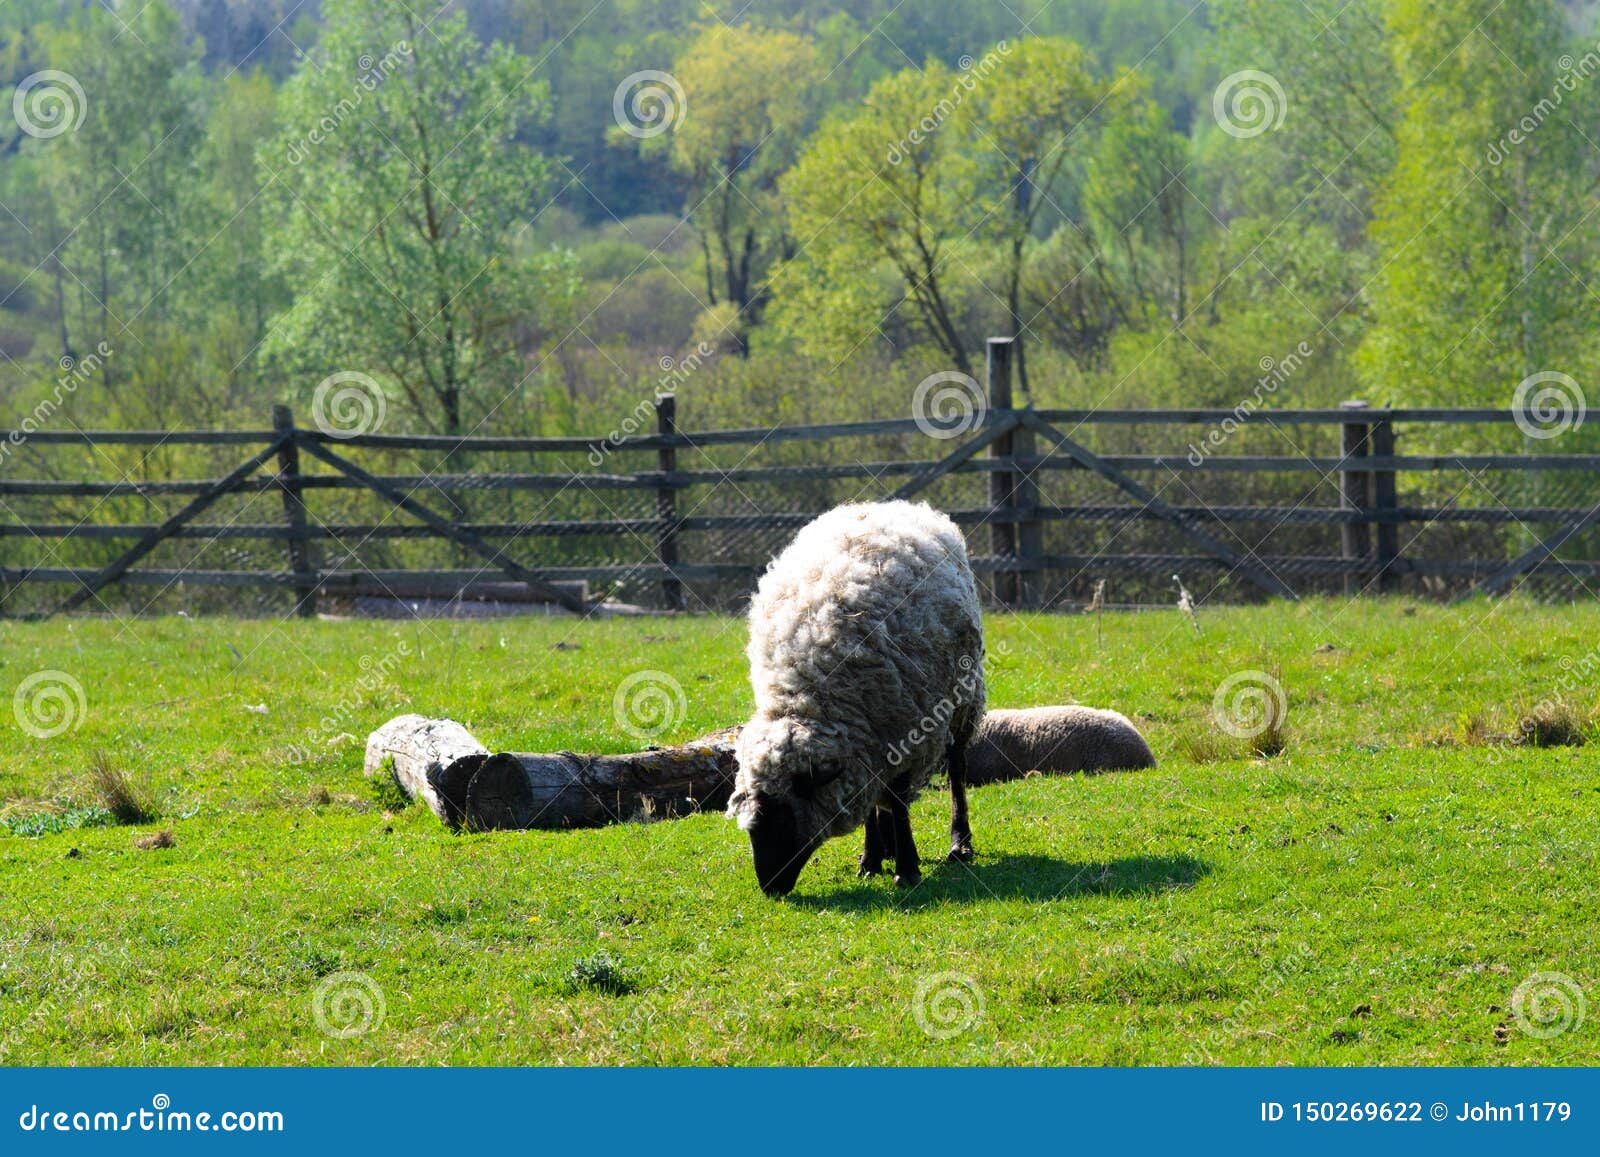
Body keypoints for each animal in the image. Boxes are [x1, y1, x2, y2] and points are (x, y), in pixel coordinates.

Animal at [727, 500, 985, 896]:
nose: (769, 887)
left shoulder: (904, 729)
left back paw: (959, 843)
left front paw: (907, 869)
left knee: (956, 769)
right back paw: (885, 848)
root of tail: (889, 506)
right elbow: (874, 800)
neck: (806, 700)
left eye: (785, 819)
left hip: (963, 698)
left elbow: (898, 798)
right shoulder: (869, 738)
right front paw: (872, 859)